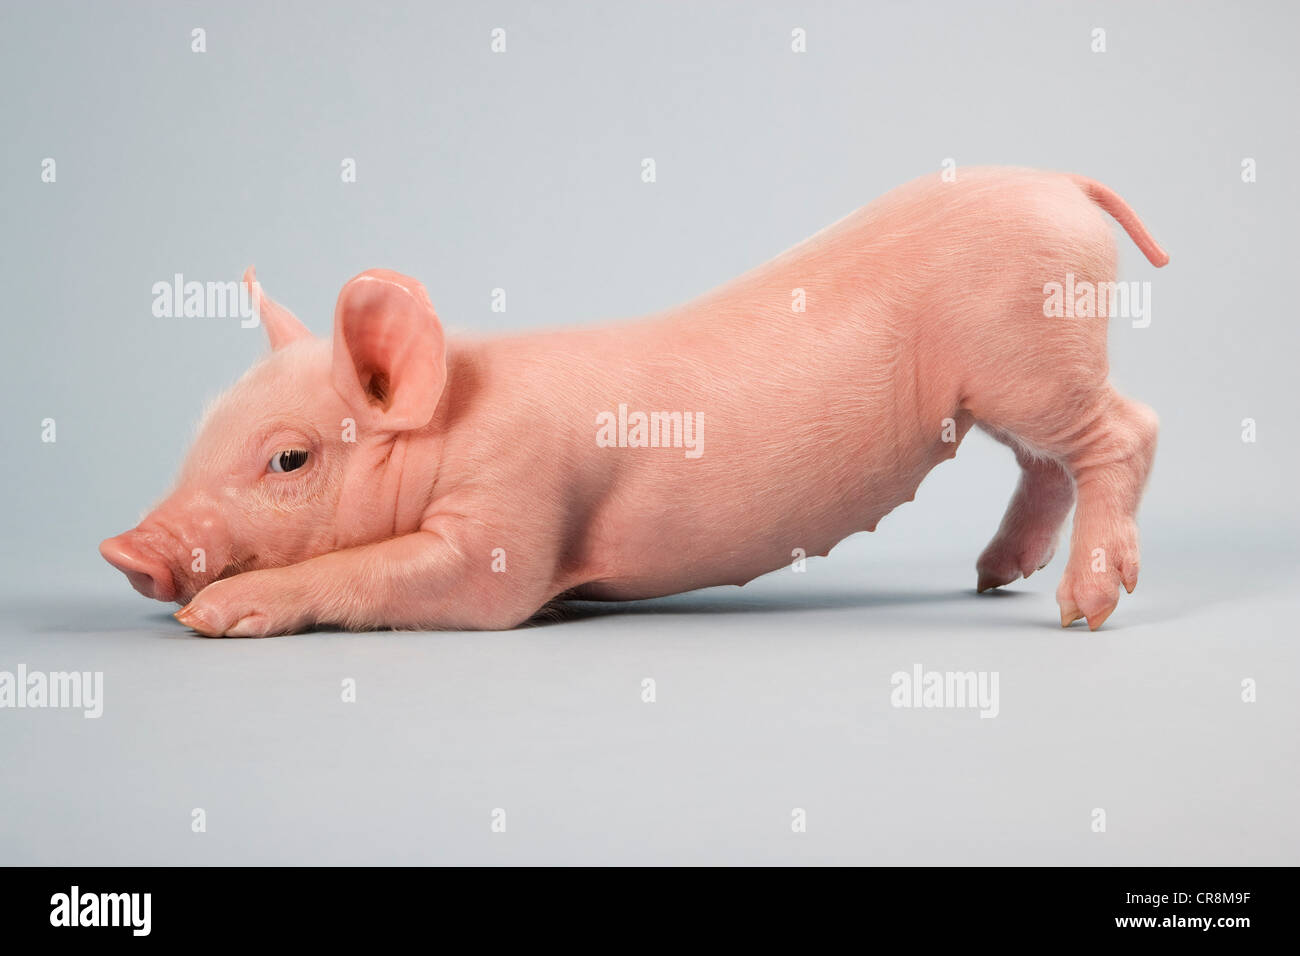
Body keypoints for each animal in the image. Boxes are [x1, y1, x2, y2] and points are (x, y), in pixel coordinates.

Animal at [100, 166, 1168, 636]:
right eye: (199, 434)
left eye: (289, 458)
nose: (125, 550)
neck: (454, 421)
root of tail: (1060, 177)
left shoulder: (513, 514)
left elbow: (442, 584)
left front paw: (212, 616)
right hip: (1004, 381)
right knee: (1047, 461)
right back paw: (992, 577)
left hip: (1030, 351)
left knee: (1128, 431)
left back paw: (1078, 611)